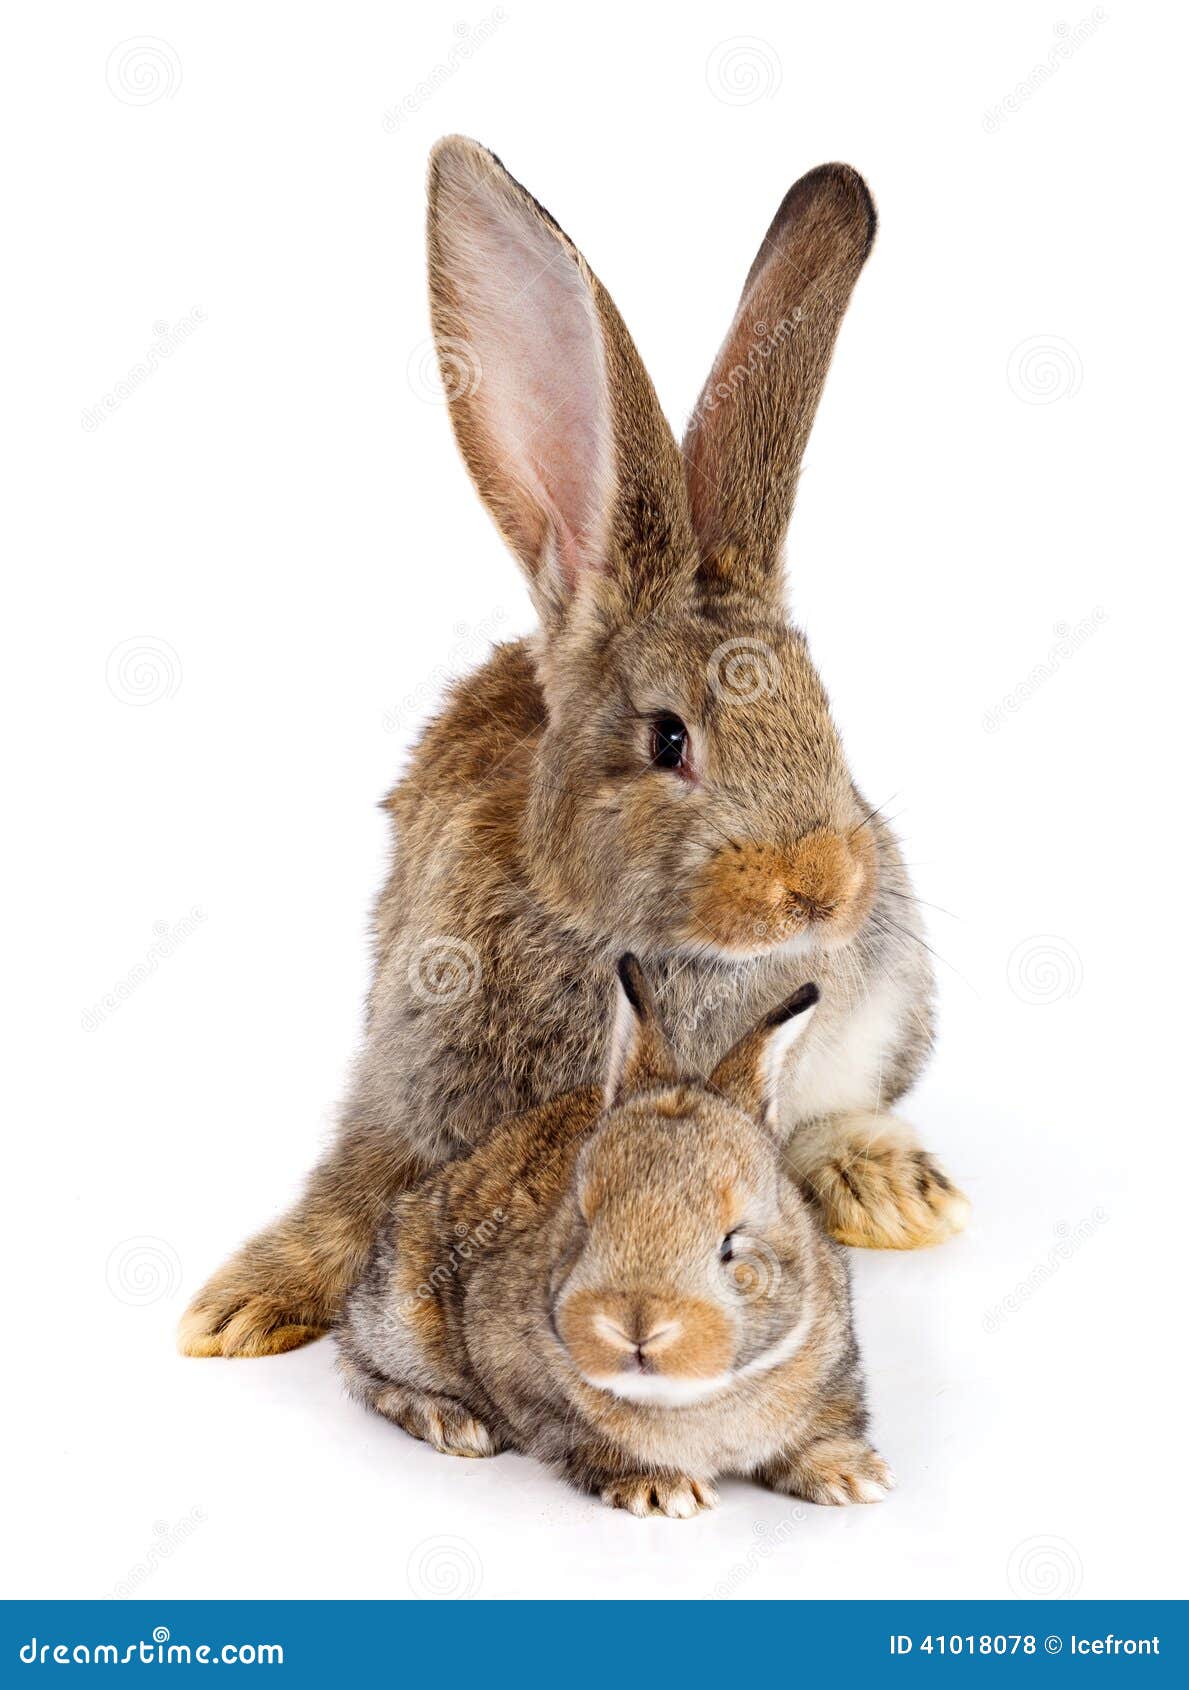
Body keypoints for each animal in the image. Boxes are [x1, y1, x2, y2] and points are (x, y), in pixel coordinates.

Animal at [180, 138, 967, 1360]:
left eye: (828, 718)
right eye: (668, 739)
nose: (822, 888)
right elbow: (353, 1195)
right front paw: (244, 1305)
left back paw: (887, 1186)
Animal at [337, 958, 892, 1517]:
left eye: (731, 1244)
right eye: (584, 1223)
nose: (637, 1327)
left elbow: (825, 1424)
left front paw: (853, 1477)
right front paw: (665, 1490)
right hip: (402, 1315)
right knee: (361, 1368)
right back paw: (450, 1422)